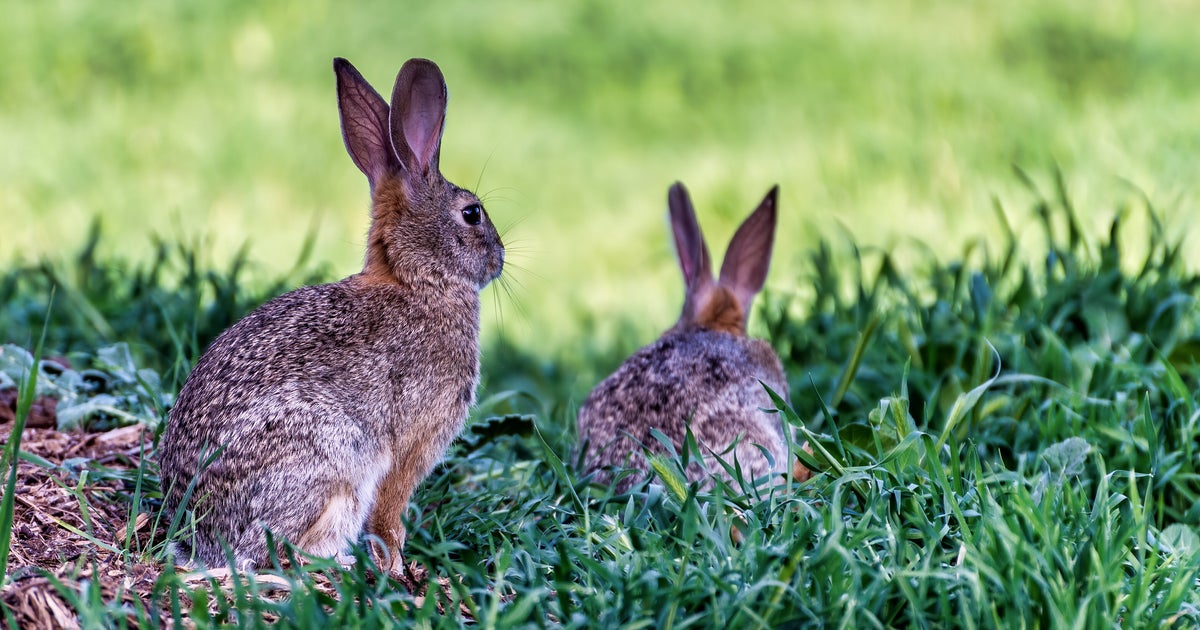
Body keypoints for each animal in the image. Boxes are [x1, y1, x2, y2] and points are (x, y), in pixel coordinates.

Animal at [156, 57, 504, 575]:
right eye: (472, 213)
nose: (500, 259)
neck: (417, 279)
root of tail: (205, 540)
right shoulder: (409, 446)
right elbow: (389, 513)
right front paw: (395, 564)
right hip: (334, 461)